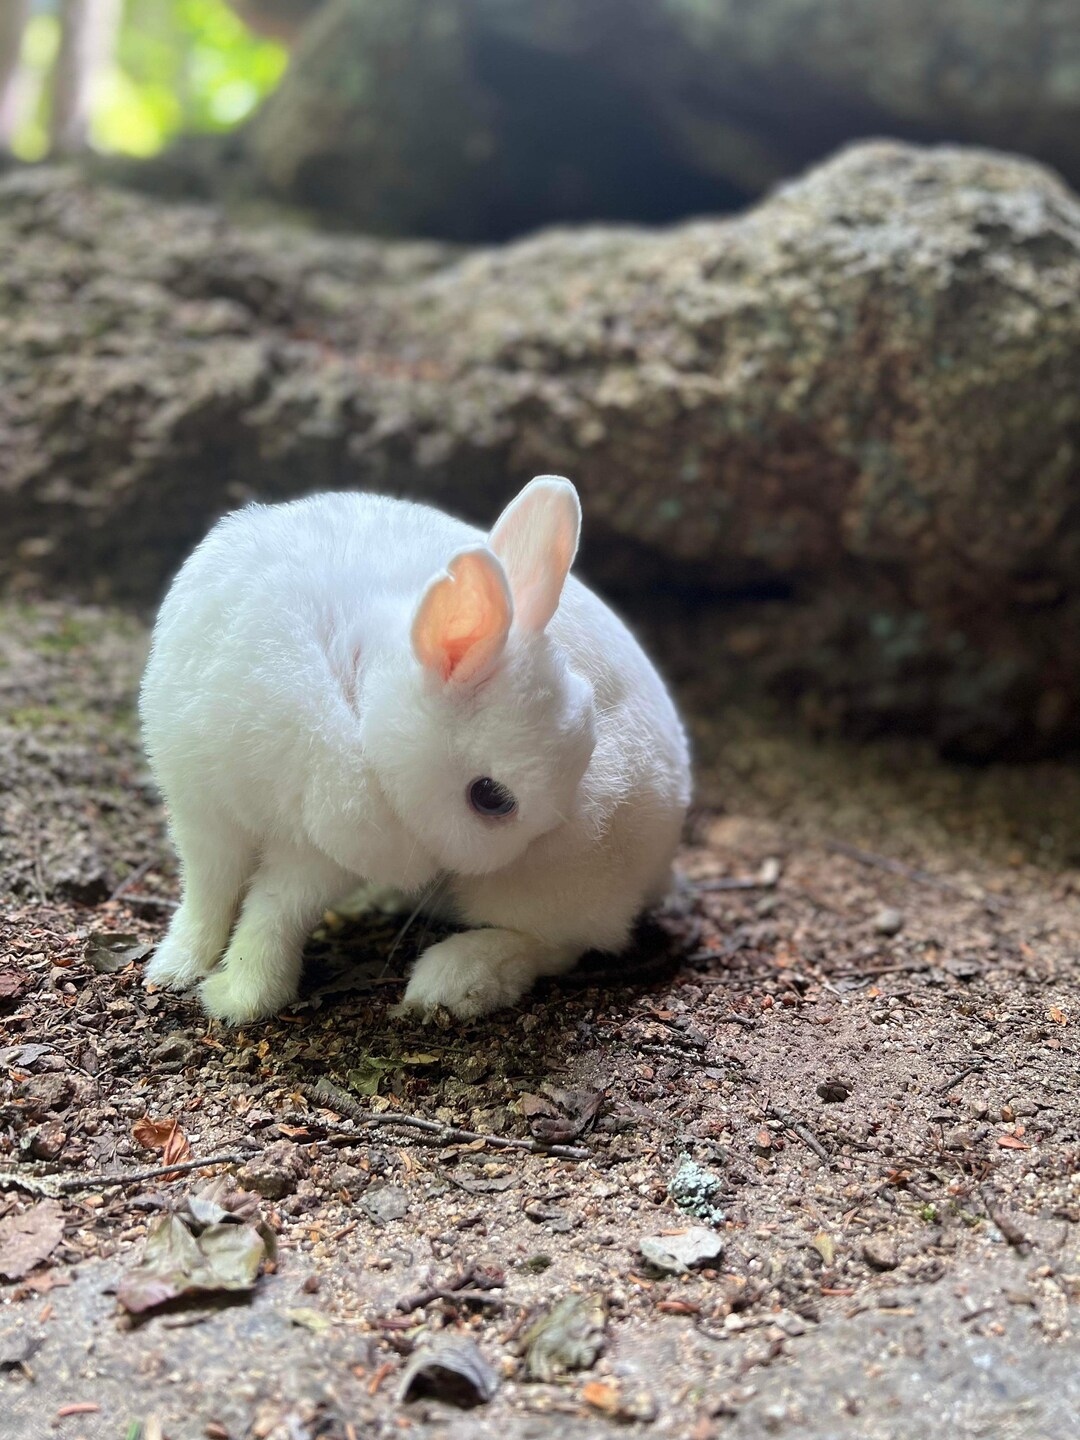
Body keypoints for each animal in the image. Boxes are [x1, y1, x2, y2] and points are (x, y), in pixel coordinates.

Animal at [140, 476, 691, 1024]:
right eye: (490, 798)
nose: (510, 857)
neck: (358, 687)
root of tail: (658, 869)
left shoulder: (316, 855)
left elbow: (273, 915)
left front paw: (239, 997)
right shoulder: (203, 813)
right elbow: (207, 895)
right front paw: (175, 968)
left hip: (553, 890)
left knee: (559, 943)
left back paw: (455, 978)